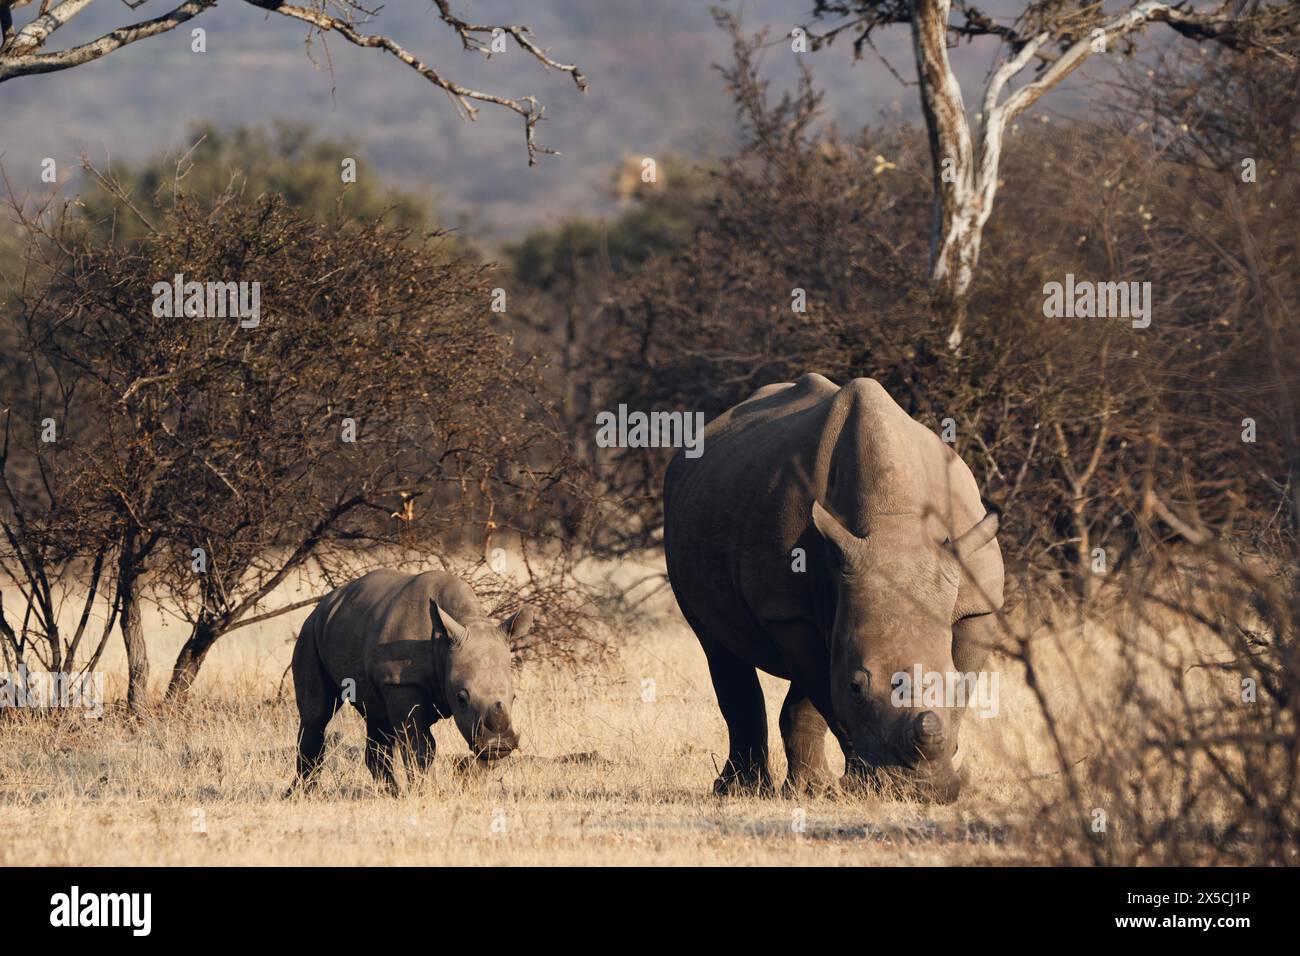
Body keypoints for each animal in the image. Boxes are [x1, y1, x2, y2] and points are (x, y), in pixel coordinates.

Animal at [287, 569, 534, 794]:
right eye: (461, 698)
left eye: (514, 697)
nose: (500, 744)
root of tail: (325, 603)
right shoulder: (401, 681)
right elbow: (419, 744)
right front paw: (423, 792)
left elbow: (481, 751)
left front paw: (468, 774)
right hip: (310, 632)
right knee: (317, 714)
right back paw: (301, 794)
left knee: (376, 717)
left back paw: (390, 794)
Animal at [664, 374, 1003, 802]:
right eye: (856, 686)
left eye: (952, 679)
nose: (918, 791)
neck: (895, 524)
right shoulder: (788, 611)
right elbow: (825, 694)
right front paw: (847, 787)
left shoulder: (978, 603)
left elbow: (962, 683)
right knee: (718, 648)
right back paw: (740, 791)